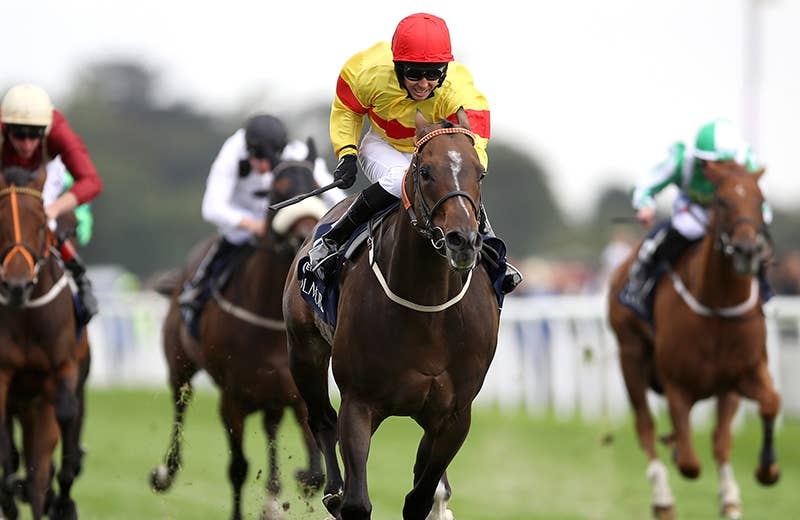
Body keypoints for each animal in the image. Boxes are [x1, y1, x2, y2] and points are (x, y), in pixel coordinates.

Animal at [0, 165, 90, 520]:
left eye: (41, 223)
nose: (16, 286)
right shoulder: (4, 375)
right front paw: (11, 488)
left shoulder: (64, 367)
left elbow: (65, 414)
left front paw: (61, 495)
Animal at [149, 144, 328, 520]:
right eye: (279, 188)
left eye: (316, 185)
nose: (306, 233)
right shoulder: (233, 397)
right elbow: (238, 468)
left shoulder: (295, 392)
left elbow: (315, 474)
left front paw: (299, 480)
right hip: (179, 364)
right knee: (180, 404)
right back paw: (164, 473)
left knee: (272, 426)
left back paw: (273, 498)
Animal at [283, 110, 501, 520]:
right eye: (425, 171)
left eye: (480, 173)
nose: (462, 240)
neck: (427, 309)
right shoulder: (359, 403)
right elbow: (356, 502)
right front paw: (342, 497)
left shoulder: (453, 416)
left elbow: (419, 496)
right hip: (304, 351)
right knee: (321, 419)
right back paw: (332, 489)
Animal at [608, 160, 781, 519]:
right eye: (722, 201)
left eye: (760, 200)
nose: (747, 250)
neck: (717, 308)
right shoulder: (677, 385)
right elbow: (689, 462)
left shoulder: (741, 376)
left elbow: (765, 407)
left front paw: (765, 471)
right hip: (630, 356)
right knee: (645, 426)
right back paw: (662, 498)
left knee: (713, 438)